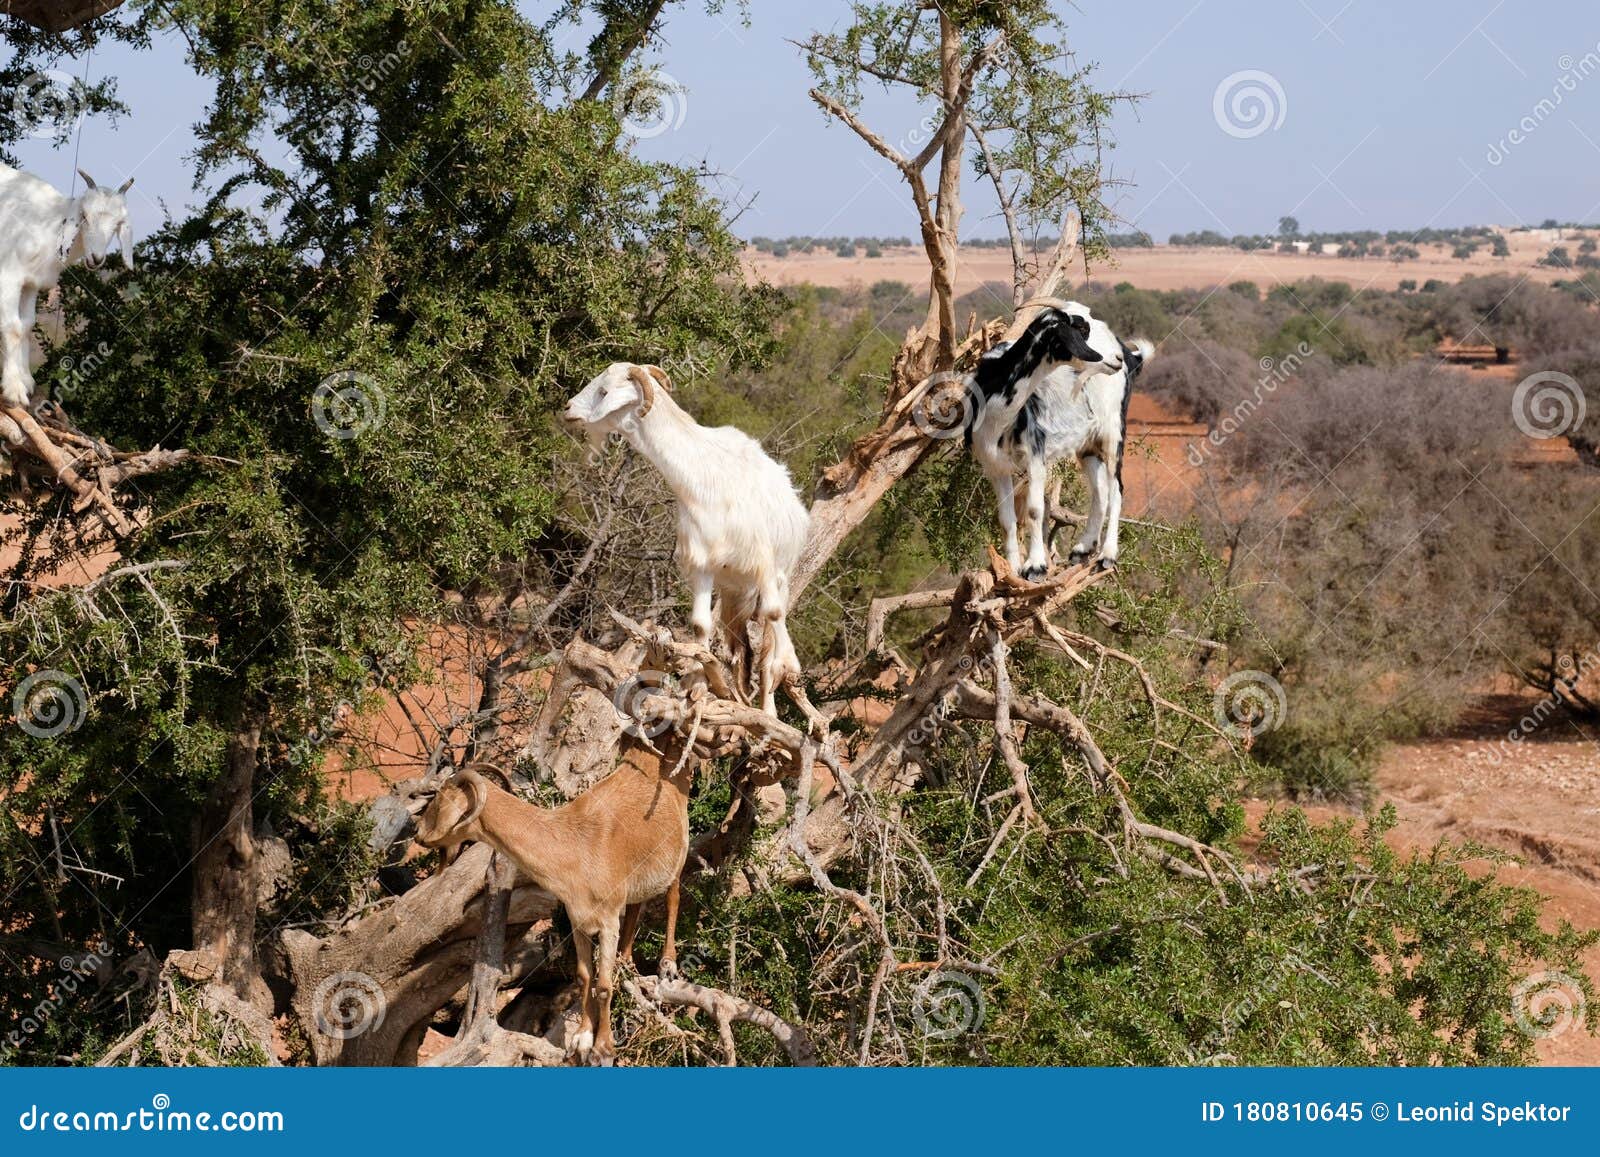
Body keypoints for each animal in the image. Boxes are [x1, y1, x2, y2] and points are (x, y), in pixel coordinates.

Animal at [0, 166, 134, 408]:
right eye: (84, 217)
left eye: (118, 224)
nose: (96, 259)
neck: (49, 225)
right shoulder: (9, 277)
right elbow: (13, 327)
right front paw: (14, 388)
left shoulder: (30, 282)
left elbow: (26, 325)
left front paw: (26, 380)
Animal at [415, 760, 689, 1066]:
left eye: (439, 800)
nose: (417, 832)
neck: (573, 845)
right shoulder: (579, 920)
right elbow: (583, 976)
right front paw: (581, 1039)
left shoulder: (607, 922)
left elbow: (604, 986)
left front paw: (603, 1048)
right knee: (635, 907)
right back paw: (626, 960)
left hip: (677, 858)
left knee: (673, 898)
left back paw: (667, 962)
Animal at [562, 362, 810, 714]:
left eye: (604, 391)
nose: (568, 409)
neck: (704, 479)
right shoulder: (702, 564)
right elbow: (700, 627)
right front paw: (699, 687)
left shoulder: (762, 563)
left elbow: (774, 624)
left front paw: (772, 707)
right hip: (733, 590)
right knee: (739, 648)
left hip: (778, 577)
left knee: (770, 645)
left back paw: (767, 706)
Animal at [963, 303, 1123, 575]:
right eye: (1082, 328)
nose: (1117, 358)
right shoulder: (994, 466)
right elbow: (1006, 518)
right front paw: (1013, 568)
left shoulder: (1035, 456)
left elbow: (1035, 510)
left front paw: (1035, 566)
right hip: (1086, 445)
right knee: (1100, 490)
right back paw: (1083, 548)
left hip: (1113, 433)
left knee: (1117, 489)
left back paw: (1107, 554)